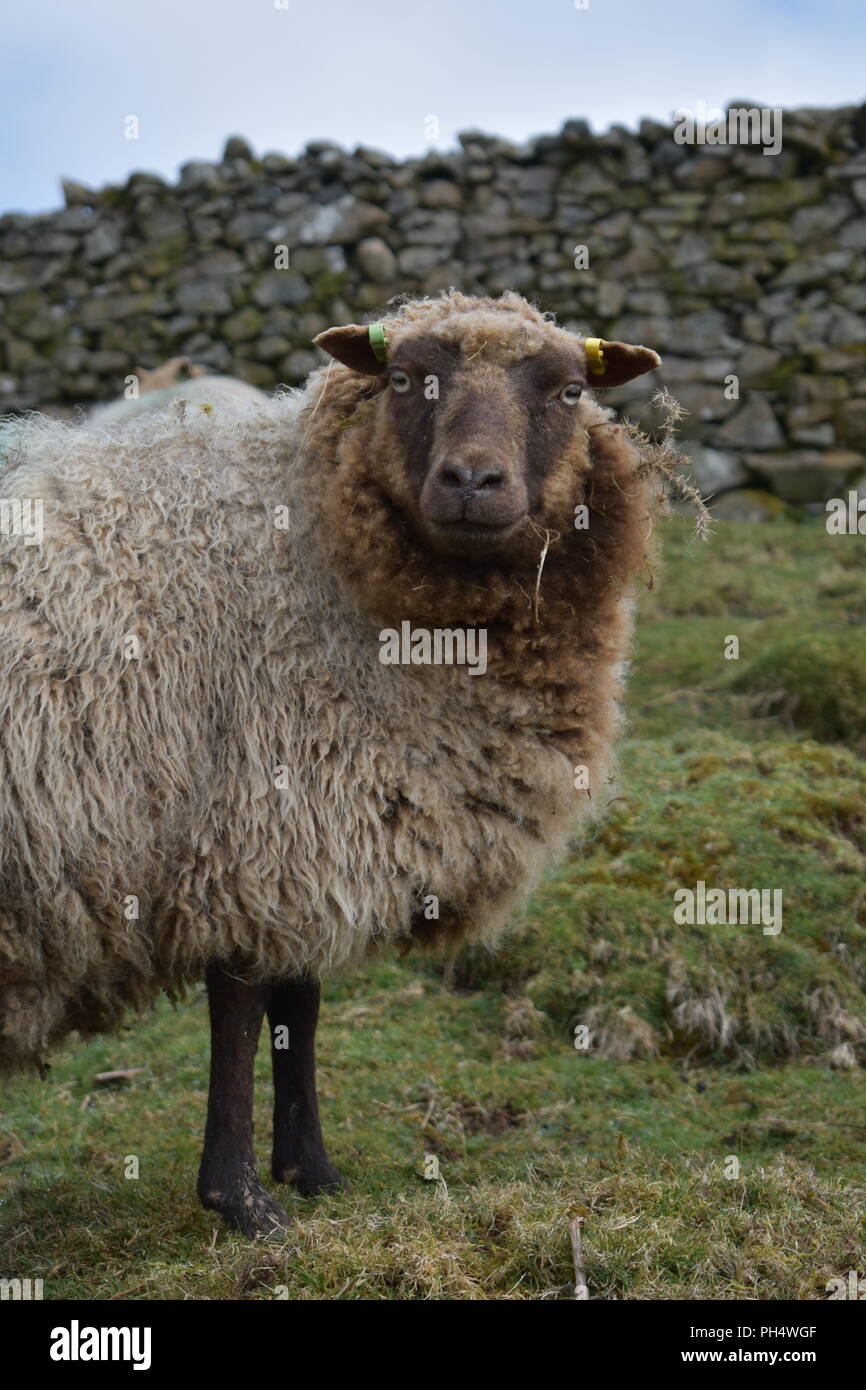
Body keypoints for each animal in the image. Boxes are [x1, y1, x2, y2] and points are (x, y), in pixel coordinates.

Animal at [0, 289, 661, 1238]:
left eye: (569, 390)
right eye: (403, 378)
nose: (472, 483)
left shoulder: (317, 822)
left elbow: (299, 1007)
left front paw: (312, 1171)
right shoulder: (262, 821)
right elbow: (244, 1010)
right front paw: (242, 1200)